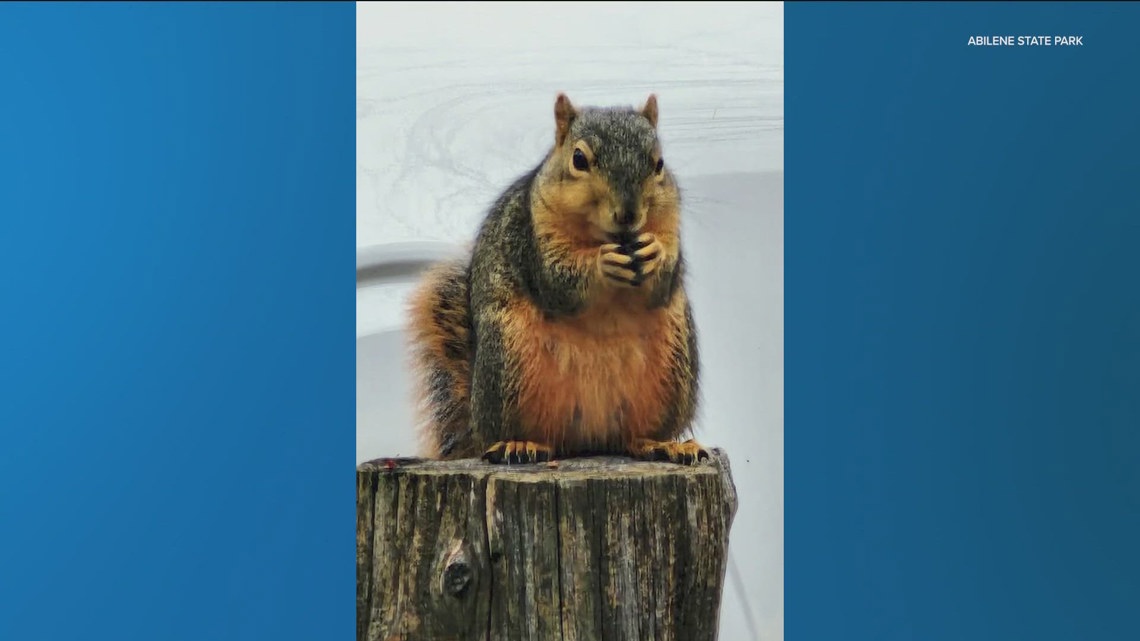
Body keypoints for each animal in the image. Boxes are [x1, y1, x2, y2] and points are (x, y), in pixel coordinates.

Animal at [406, 93, 705, 466]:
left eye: (659, 163)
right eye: (579, 159)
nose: (628, 214)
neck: (606, 237)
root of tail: (590, 440)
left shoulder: (669, 222)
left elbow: (662, 285)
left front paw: (656, 254)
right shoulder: (532, 238)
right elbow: (558, 281)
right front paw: (601, 263)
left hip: (671, 374)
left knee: (631, 438)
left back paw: (661, 444)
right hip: (508, 366)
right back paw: (520, 444)